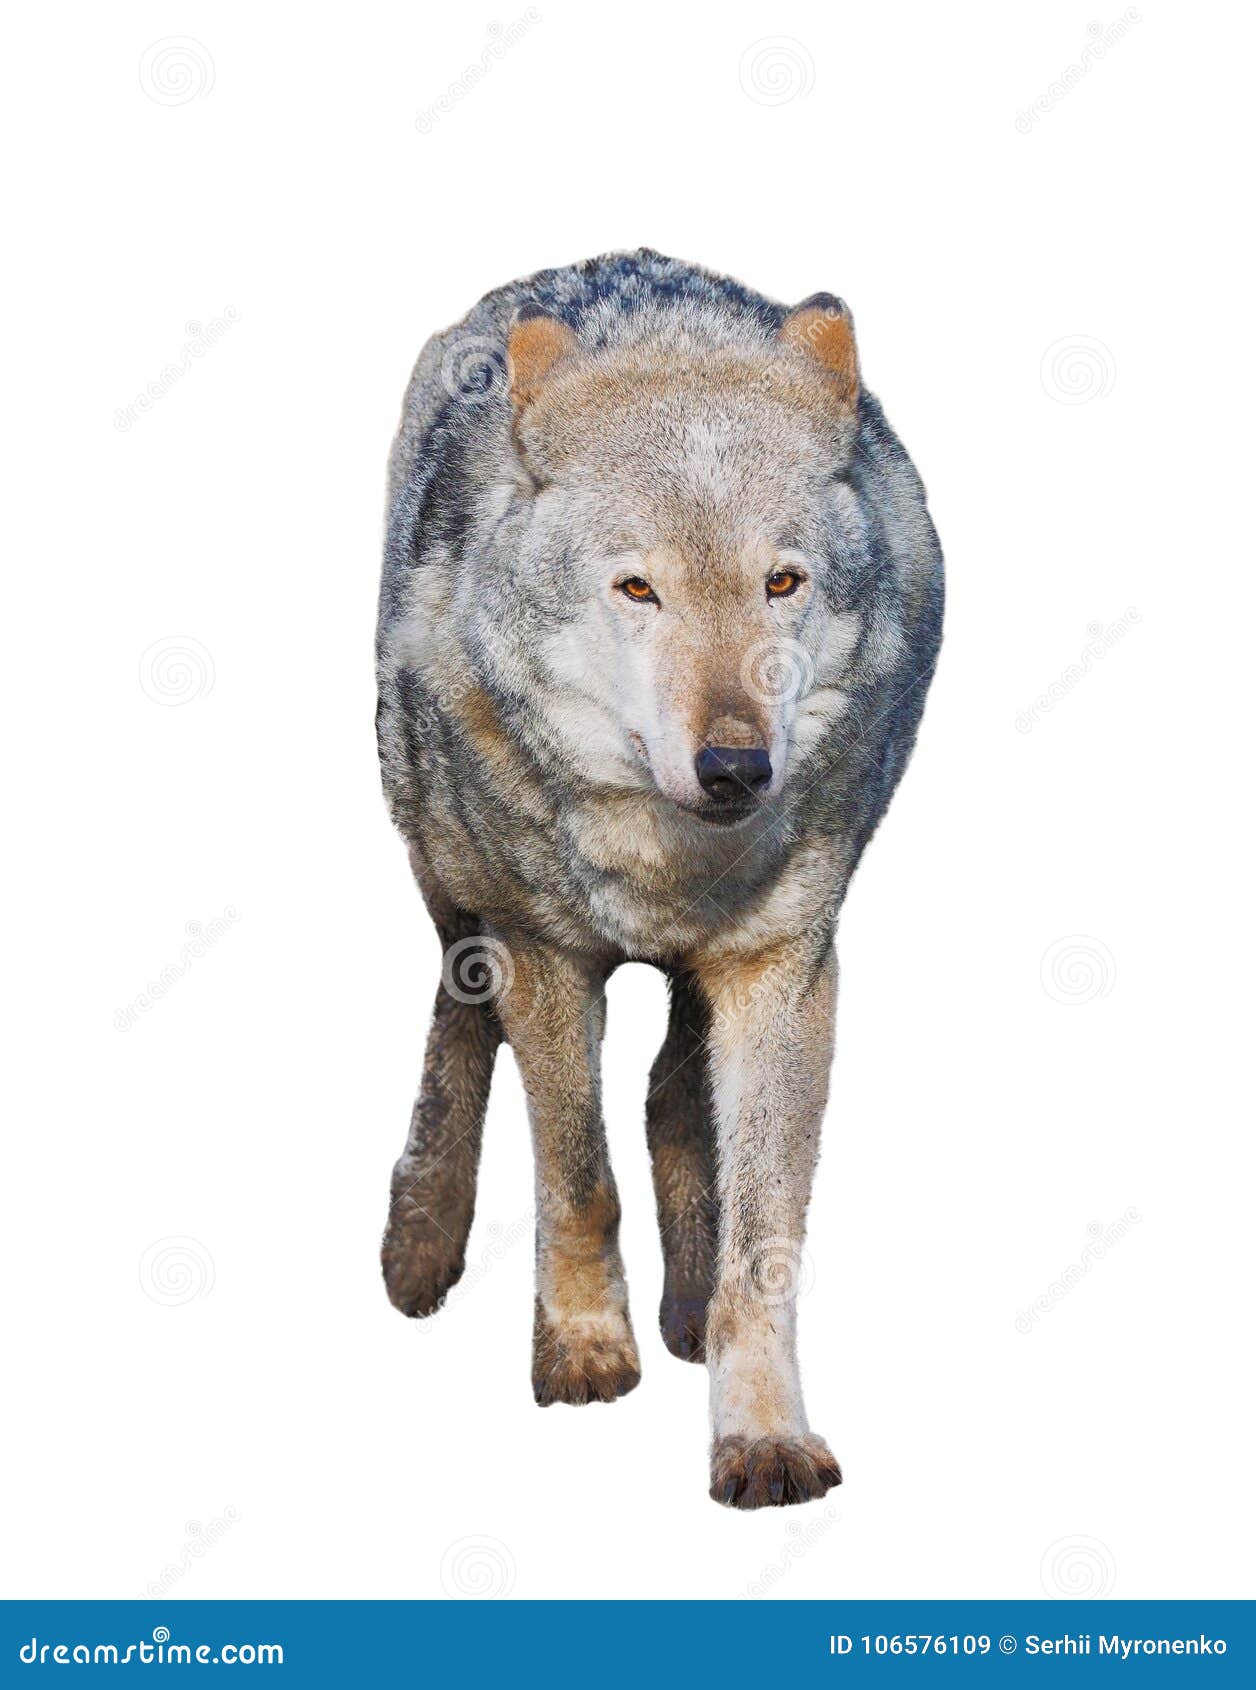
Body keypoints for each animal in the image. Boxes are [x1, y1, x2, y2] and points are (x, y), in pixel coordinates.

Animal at [376, 250, 943, 1508]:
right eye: (637, 589)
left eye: (781, 582)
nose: (734, 765)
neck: (670, 862)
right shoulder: (543, 954)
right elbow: (575, 1172)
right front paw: (584, 1350)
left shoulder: (783, 969)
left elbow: (761, 1241)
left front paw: (761, 1432)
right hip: (445, 865)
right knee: (457, 1019)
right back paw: (420, 1236)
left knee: (668, 1094)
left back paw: (684, 1301)